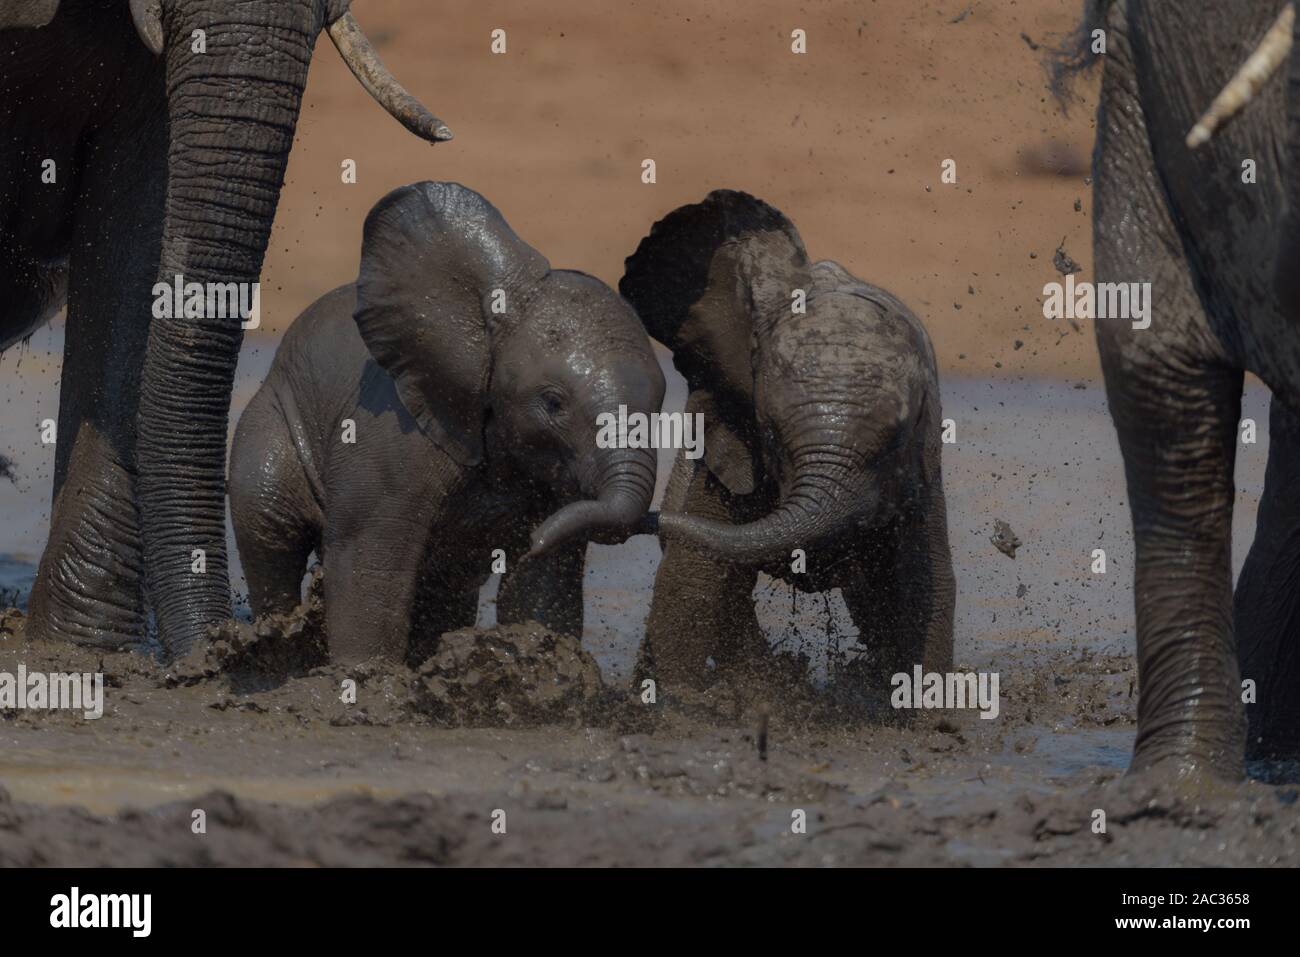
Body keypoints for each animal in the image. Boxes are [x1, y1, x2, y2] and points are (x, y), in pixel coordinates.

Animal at [228, 181, 666, 664]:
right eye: (553, 403)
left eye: (663, 402)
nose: (532, 540)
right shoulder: (394, 438)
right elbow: (371, 560)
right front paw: (366, 676)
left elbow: (543, 584)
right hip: (270, 422)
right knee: (271, 535)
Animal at [619, 190, 955, 698]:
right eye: (770, 431)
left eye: (897, 438)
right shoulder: (730, 443)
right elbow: (693, 577)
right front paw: (689, 705)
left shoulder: (921, 468)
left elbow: (925, 589)